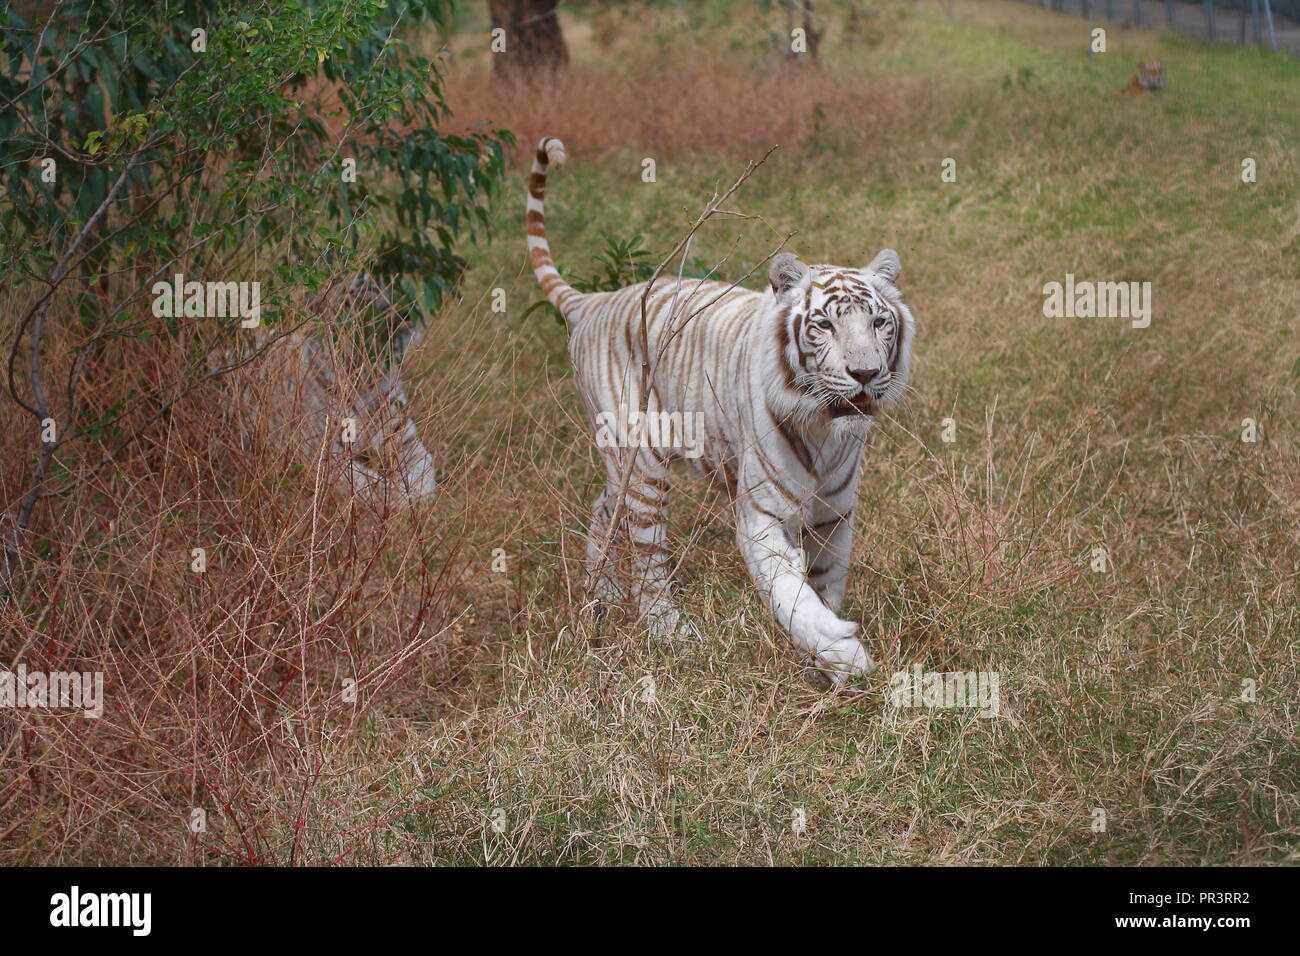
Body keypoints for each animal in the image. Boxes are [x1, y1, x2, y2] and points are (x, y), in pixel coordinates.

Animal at [526, 137, 916, 687]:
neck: (825, 429)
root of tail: (595, 300)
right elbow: (793, 596)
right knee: (646, 560)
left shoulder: (835, 514)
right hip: (644, 468)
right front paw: (844, 653)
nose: (864, 373)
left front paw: (826, 672)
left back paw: (599, 599)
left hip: (621, 467)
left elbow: (825, 586)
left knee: (604, 514)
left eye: (879, 322)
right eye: (824, 325)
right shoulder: (762, 515)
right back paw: (672, 634)